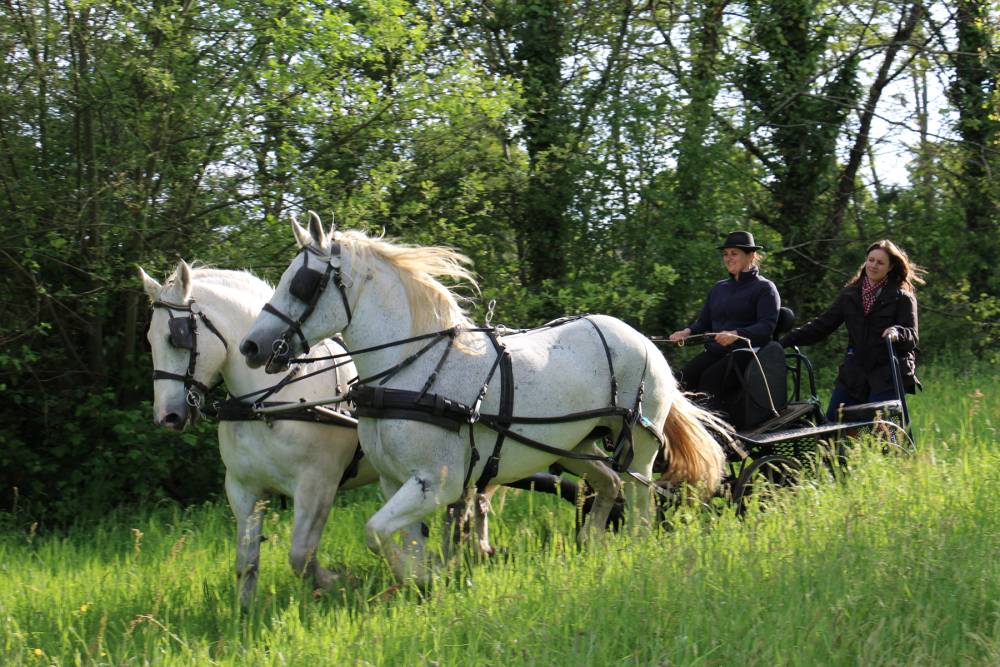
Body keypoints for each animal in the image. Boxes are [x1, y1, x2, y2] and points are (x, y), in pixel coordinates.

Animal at [139, 260, 378, 606]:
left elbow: (301, 556)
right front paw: (244, 613)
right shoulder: (243, 489)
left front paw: (339, 582)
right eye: (150, 338)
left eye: (176, 337)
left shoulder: (317, 485)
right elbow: (246, 563)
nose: (166, 417)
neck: (270, 398)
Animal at [240, 214, 727, 585]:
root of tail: (641, 339)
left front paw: (426, 576)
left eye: (303, 283)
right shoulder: (395, 482)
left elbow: (375, 532)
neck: (412, 369)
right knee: (607, 484)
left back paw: (635, 551)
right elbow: (397, 538)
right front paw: (424, 578)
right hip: (574, 446)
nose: (251, 347)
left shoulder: (437, 483)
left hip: (639, 447)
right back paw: (591, 543)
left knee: (641, 499)